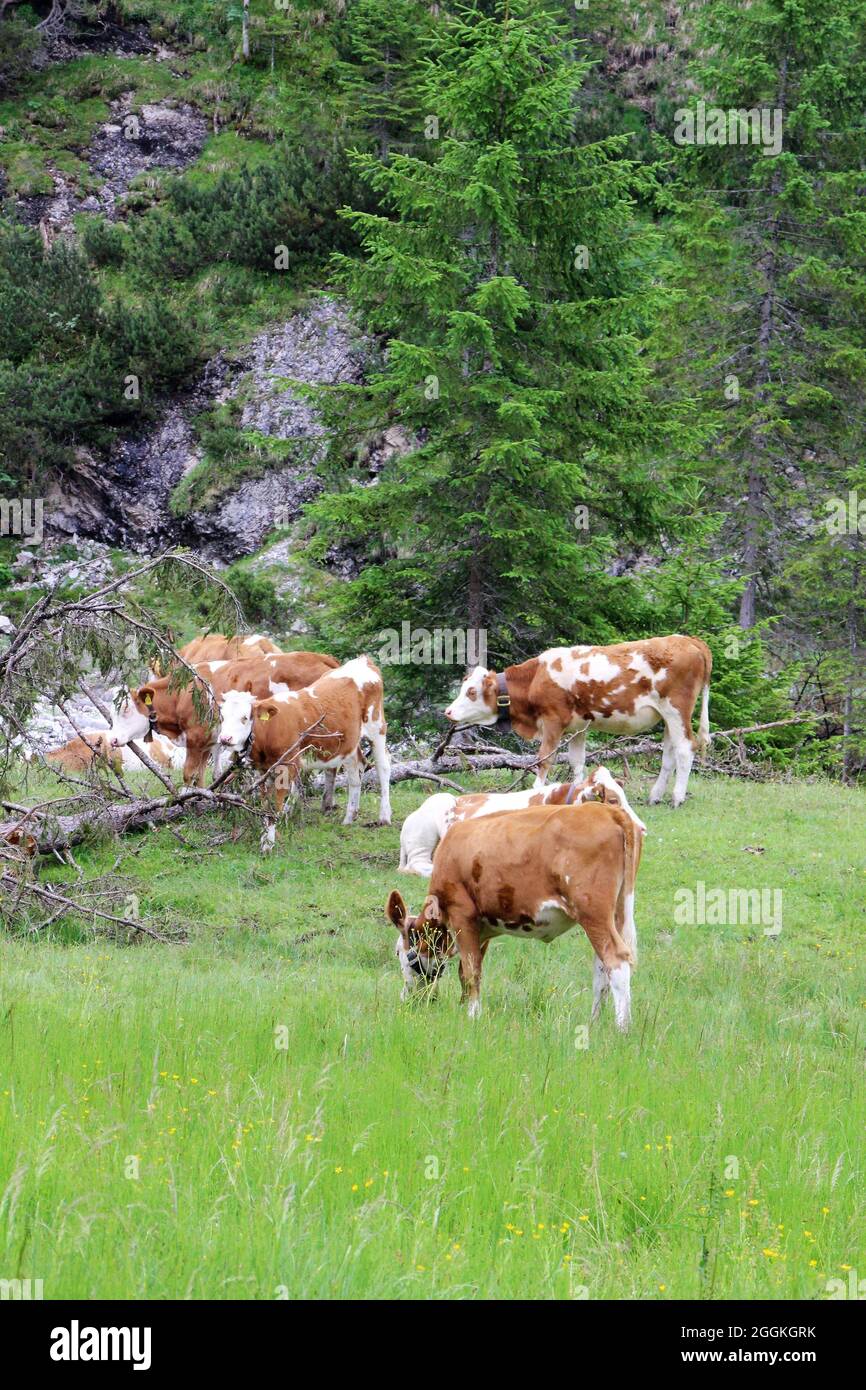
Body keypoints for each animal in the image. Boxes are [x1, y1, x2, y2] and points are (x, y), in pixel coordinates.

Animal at [240, 655, 391, 848]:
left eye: (246, 717)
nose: (226, 738)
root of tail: (362, 660)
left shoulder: (287, 764)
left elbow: (277, 802)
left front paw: (269, 842)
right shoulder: (263, 769)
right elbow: (266, 802)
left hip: (376, 727)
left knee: (383, 767)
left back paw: (384, 817)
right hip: (349, 741)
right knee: (356, 768)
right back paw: (350, 817)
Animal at [386, 800, 642, 1029]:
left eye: (399, 952)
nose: (407, 1000)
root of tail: (606, 810)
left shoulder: (462, 915)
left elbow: (471, 971)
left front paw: (472, 1016)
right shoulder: (481, 930)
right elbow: (465, 970)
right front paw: (463, 1008)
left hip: (592, 912)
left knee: (615, 960)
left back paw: (622, 1028)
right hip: (616, 913)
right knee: (601, 969)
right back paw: (594, 1023)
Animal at [443, 636, 711, 807]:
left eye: (471, 692)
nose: (448, 711)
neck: (537, 678)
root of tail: (690, 640)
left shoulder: (553, 721)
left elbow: (544, 759)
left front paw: (536, 792)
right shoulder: (579, 726)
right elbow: (577, 762)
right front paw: (578, 793)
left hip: (677, 710)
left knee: (685, 749)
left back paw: (677, 798)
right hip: (667, 717)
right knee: (669, 754)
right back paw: (655, 796)